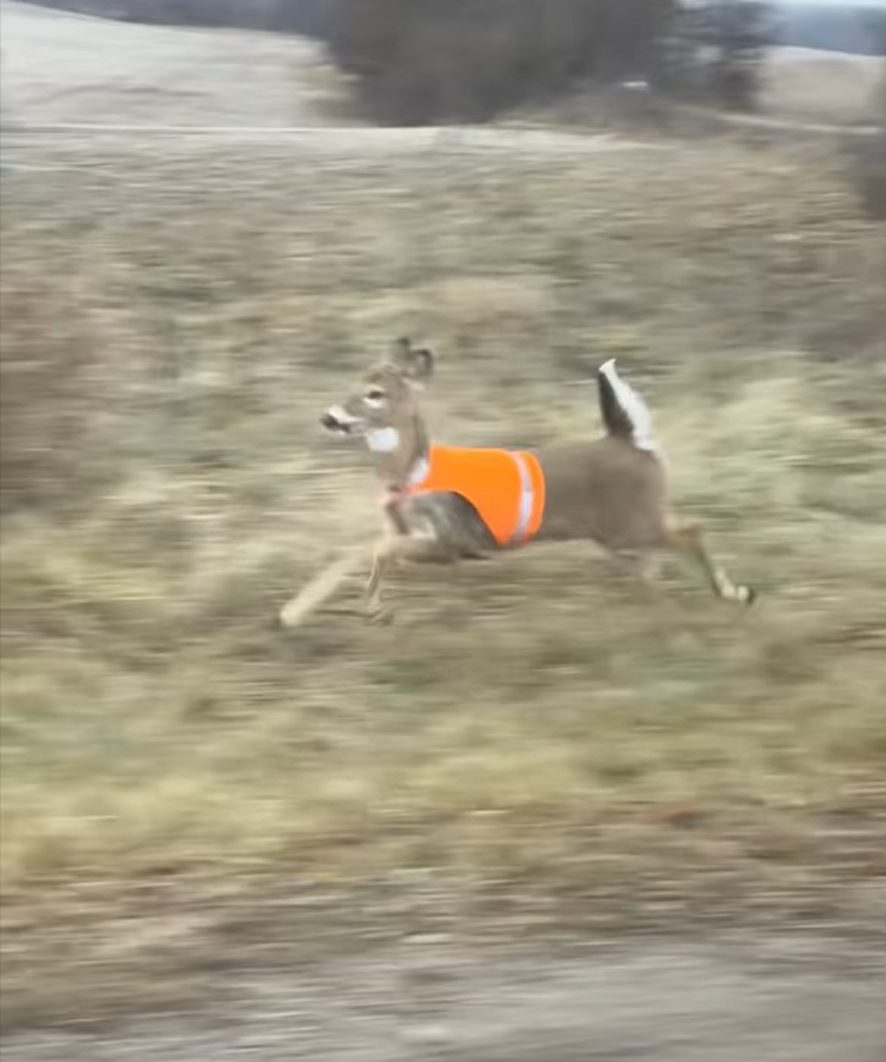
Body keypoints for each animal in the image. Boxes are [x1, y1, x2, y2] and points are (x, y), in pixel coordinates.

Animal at [279, 338, 755, 628]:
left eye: (375, 393)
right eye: (354, 384)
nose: (329, 417)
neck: (411, 473)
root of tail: (631, 441)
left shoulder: (449, 538)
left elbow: (364, 550)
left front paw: (294, 611)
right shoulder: (416, 537)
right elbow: (375, 553)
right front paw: (373, 609)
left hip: (633, 523)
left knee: (692, 530)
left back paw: (734, 593)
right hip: (620, 534)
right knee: (660, 556)